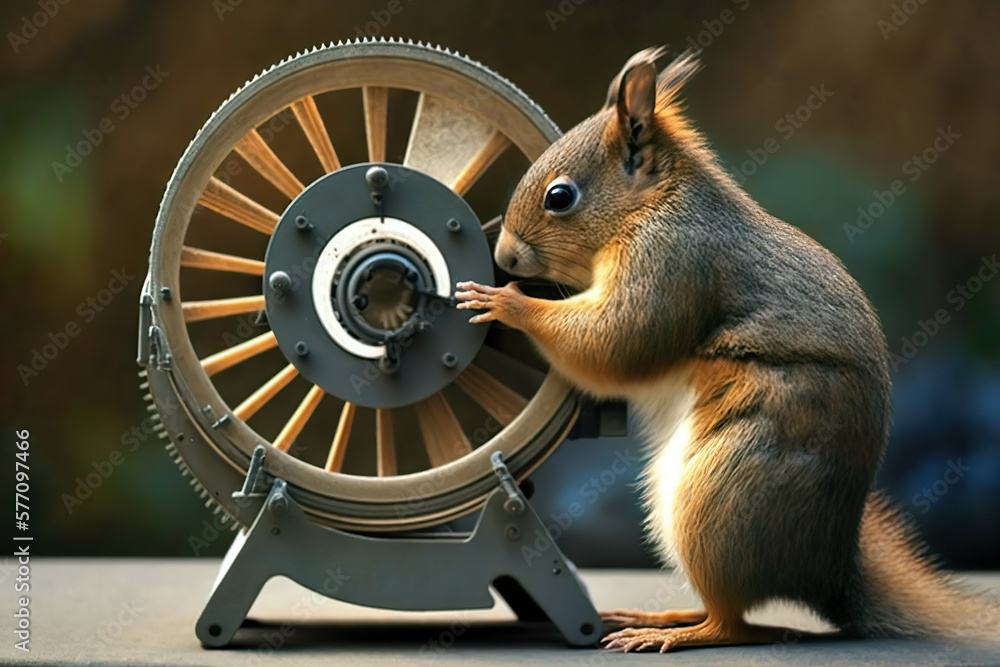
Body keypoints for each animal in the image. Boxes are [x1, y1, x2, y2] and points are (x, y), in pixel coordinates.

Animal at [455, 47, 998, 653]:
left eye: (560, 196)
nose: (504, 255)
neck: (651, 206)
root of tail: (826, 572)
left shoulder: (672, 261)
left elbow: (620, 339)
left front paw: (506, 302)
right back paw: (663, 618)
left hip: (723, 498)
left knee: (736, 624)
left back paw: (675, 634)